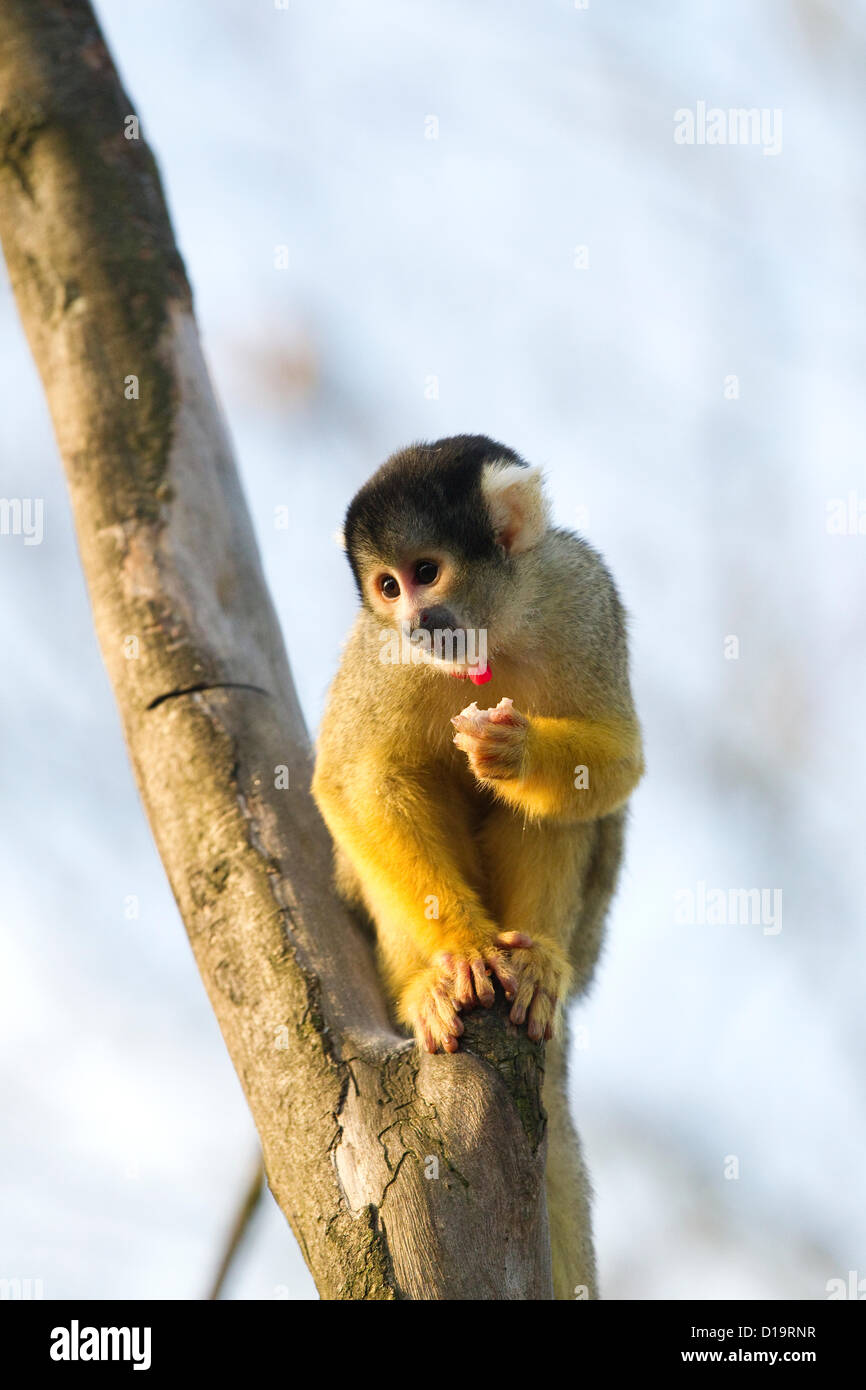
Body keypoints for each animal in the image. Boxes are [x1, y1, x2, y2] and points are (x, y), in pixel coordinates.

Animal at [312, 434, 644, 1299]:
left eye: (426, 571)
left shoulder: (579, 596)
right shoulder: (380, 650)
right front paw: (458, 949)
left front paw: (515, 752)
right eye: (386, 586)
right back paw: (427, 981)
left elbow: (618, 762)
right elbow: (354, 778)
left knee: (578, 817)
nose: (414, 618)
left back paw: (537, 964)